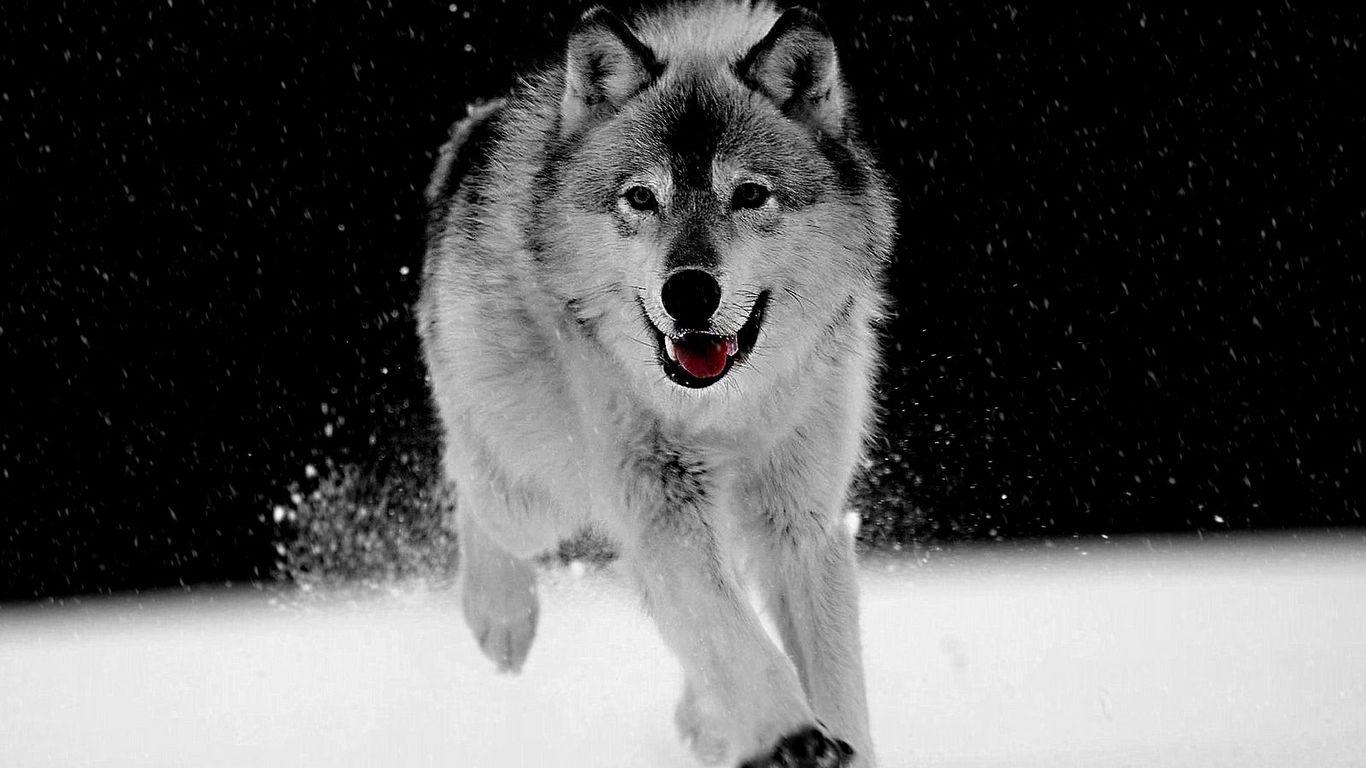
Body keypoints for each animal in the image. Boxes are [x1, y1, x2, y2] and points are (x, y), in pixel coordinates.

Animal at [417, 2, 896, 765]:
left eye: (749, 194)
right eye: (641, 198)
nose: (690, 292)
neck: (724, 411)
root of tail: (476, 128)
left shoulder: (802, 520)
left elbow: (828, 673)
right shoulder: (660, 502)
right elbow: (735, 639)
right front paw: (792, 735)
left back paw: (707, 722)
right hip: (534, 488)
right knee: (471, 480)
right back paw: (501, 618)